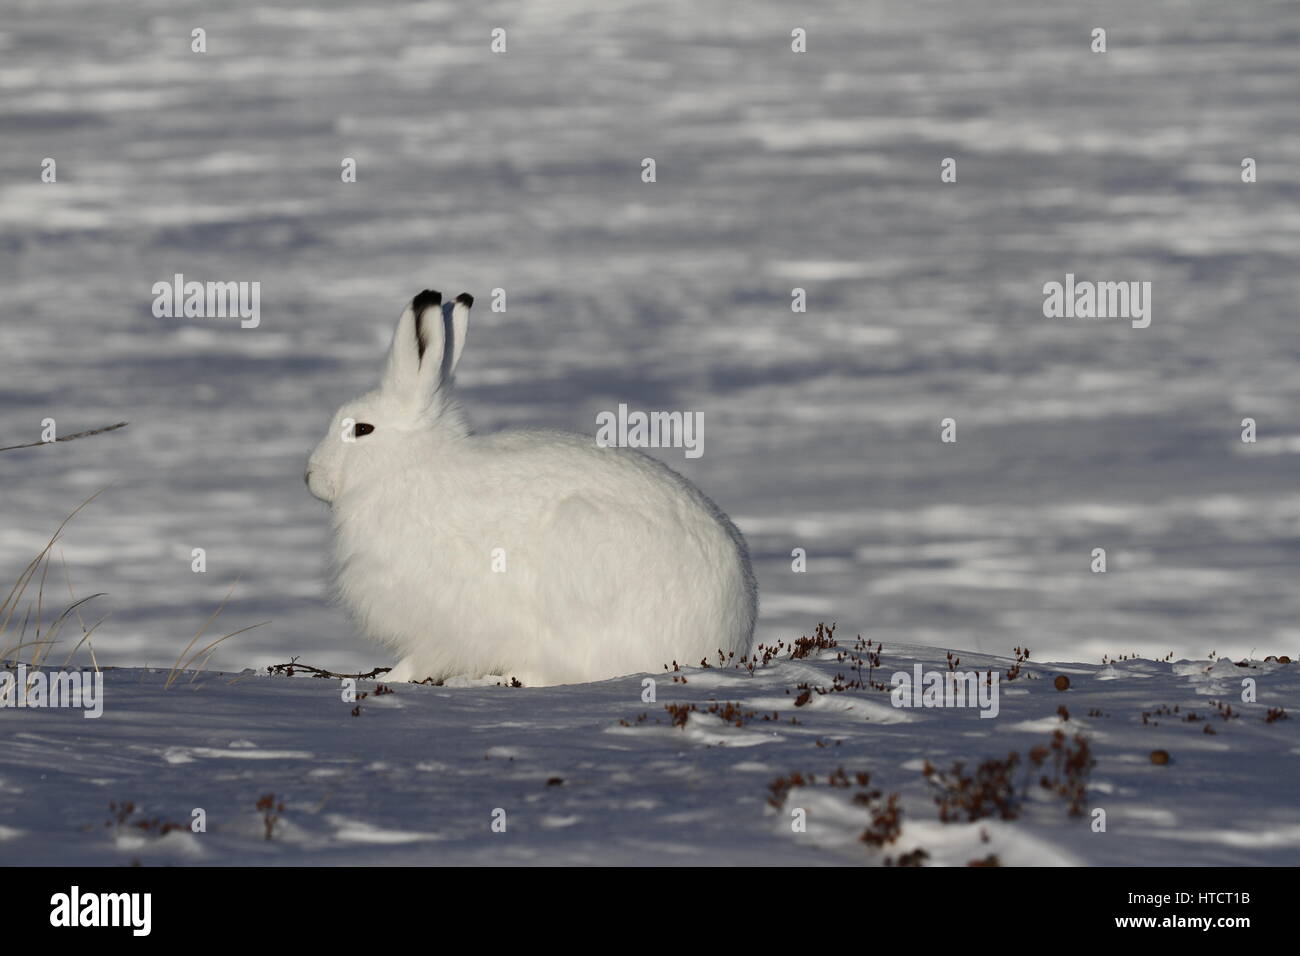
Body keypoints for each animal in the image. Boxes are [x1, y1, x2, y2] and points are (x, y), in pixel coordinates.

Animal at [306, 289, 758, 686]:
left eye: (362, 430)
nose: (311, 476)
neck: (408, 467)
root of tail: (726, 637)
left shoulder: (446, 617)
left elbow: (425, 655)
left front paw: (396, 678)